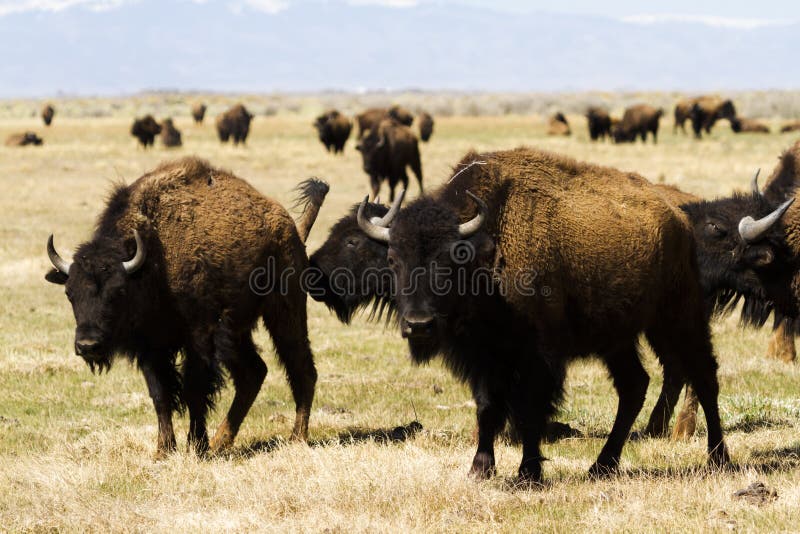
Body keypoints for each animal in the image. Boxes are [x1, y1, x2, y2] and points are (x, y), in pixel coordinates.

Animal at [45, 157, 327, 456]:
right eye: (69, 293)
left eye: (118, 292)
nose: (88, 345)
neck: (153, 261)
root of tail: (292, 230)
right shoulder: (151, 347)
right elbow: (161, 394)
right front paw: (164, 450)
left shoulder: (199, 337)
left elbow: (195, 390)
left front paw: (196, 445)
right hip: (237, 332)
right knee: (253, 374)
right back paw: (220, 441)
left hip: (285, 313)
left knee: (301, 369)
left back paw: (296, 438)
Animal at [347, 148, 728, 483]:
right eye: (393, 260)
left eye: (450, 260)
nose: (419, 326)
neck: (491, 250)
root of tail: (678, 219)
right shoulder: (485, 357)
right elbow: (487, 407)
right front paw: (480, 469)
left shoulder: (537, 357)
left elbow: (530, 409)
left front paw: (528, 472)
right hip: (617, 339)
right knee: (634, 386)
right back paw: (601, 466)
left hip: (677, 318)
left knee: (704, 377)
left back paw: (718, 459)